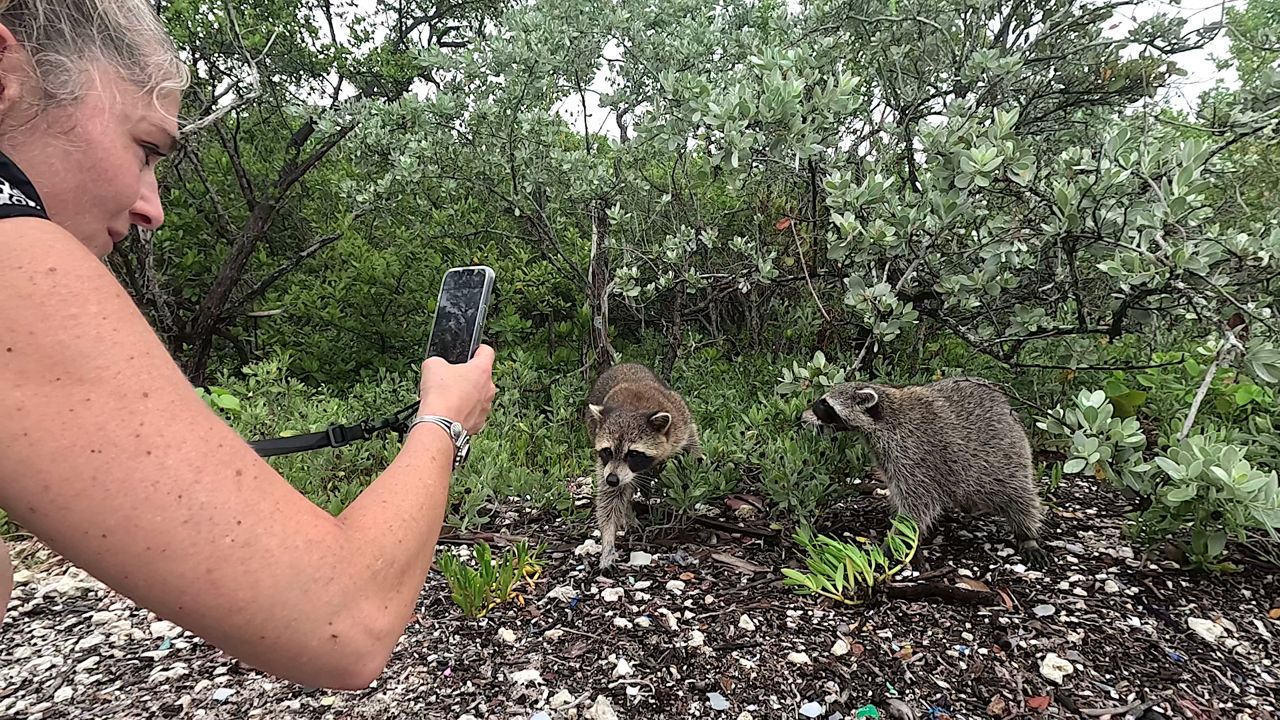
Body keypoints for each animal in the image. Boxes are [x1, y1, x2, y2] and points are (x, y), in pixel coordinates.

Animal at [586, 363, 701, 569]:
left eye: (633, 454)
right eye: (607, 451)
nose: (612, 479)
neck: (631, 408)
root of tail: (624, 364)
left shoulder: (680, 423)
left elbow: (691, 443)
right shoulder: (607, 466)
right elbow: (609, 499)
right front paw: (608, 541)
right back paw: (628, 516)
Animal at [801, 377, 1050, 567]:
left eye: (824, 404)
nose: (801, 416)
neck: (886, 415)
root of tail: (1007, 407)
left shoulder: (915, 453)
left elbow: (918, 504)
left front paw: (895, 541)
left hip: (1007, 456)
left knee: (1019, 496)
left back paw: (1027, 534)